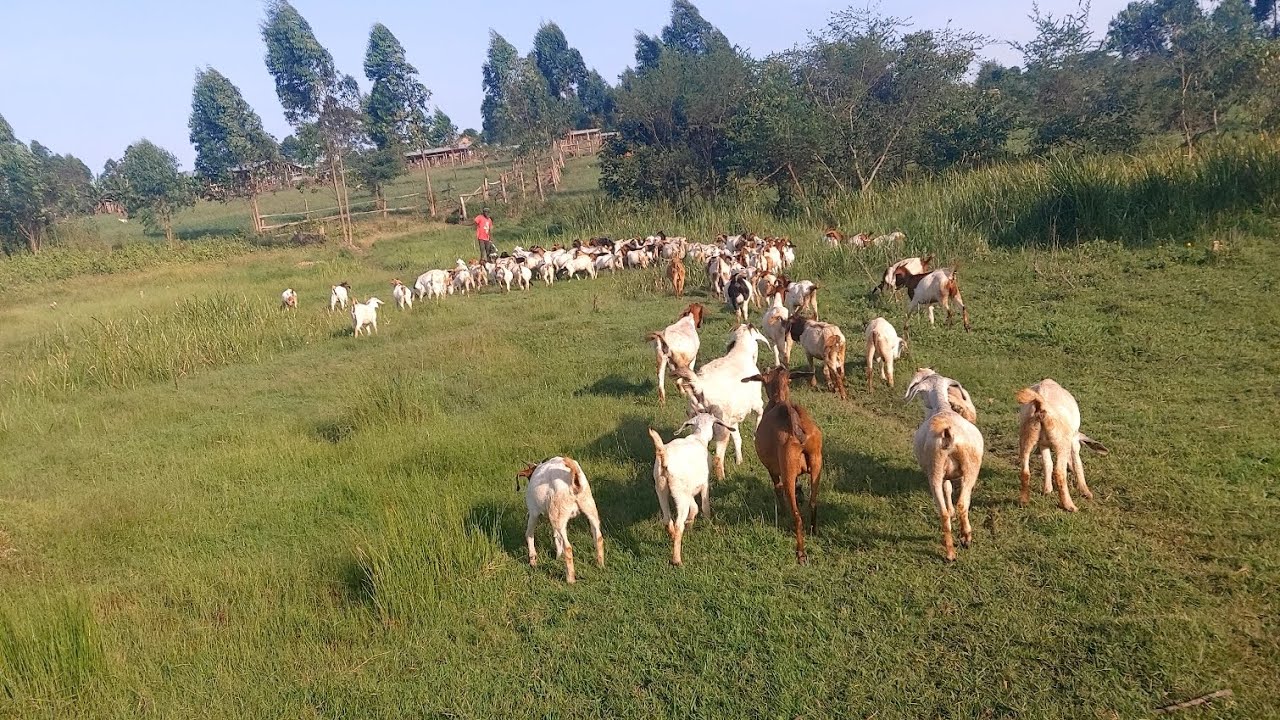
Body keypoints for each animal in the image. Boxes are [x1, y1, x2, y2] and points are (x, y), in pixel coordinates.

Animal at [647, 413, 732, 566]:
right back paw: (677, 559)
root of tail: (664, 458)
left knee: (667, 519)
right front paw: (707, 522)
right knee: (678, 524)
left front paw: (690, 523)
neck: (698, 438)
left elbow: (695, 507)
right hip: (679, 493)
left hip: (661, 486)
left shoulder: (689, 490)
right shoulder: (704, 483)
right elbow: (704, 506)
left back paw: (673, 535)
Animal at [741, 366, 823, 565]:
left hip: (788, 472)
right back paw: (814, 531)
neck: (779, 399)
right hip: (817, 463)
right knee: (813, 503)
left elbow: (777, 488)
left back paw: (801, 553)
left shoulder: (773, 469)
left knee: (797, 515)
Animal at [1016, 379, 1109, 512]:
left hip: (1027, 436)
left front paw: (1047, 490)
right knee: (1059, 473)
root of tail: (1040, 404)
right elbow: (1077, 463)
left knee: (1025, 471)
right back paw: (1069, 505)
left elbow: (1047, 464)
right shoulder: (1073, 441)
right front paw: (1085, 491)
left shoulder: (1043, 444)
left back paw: (1023, 501)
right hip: (1061, 442)